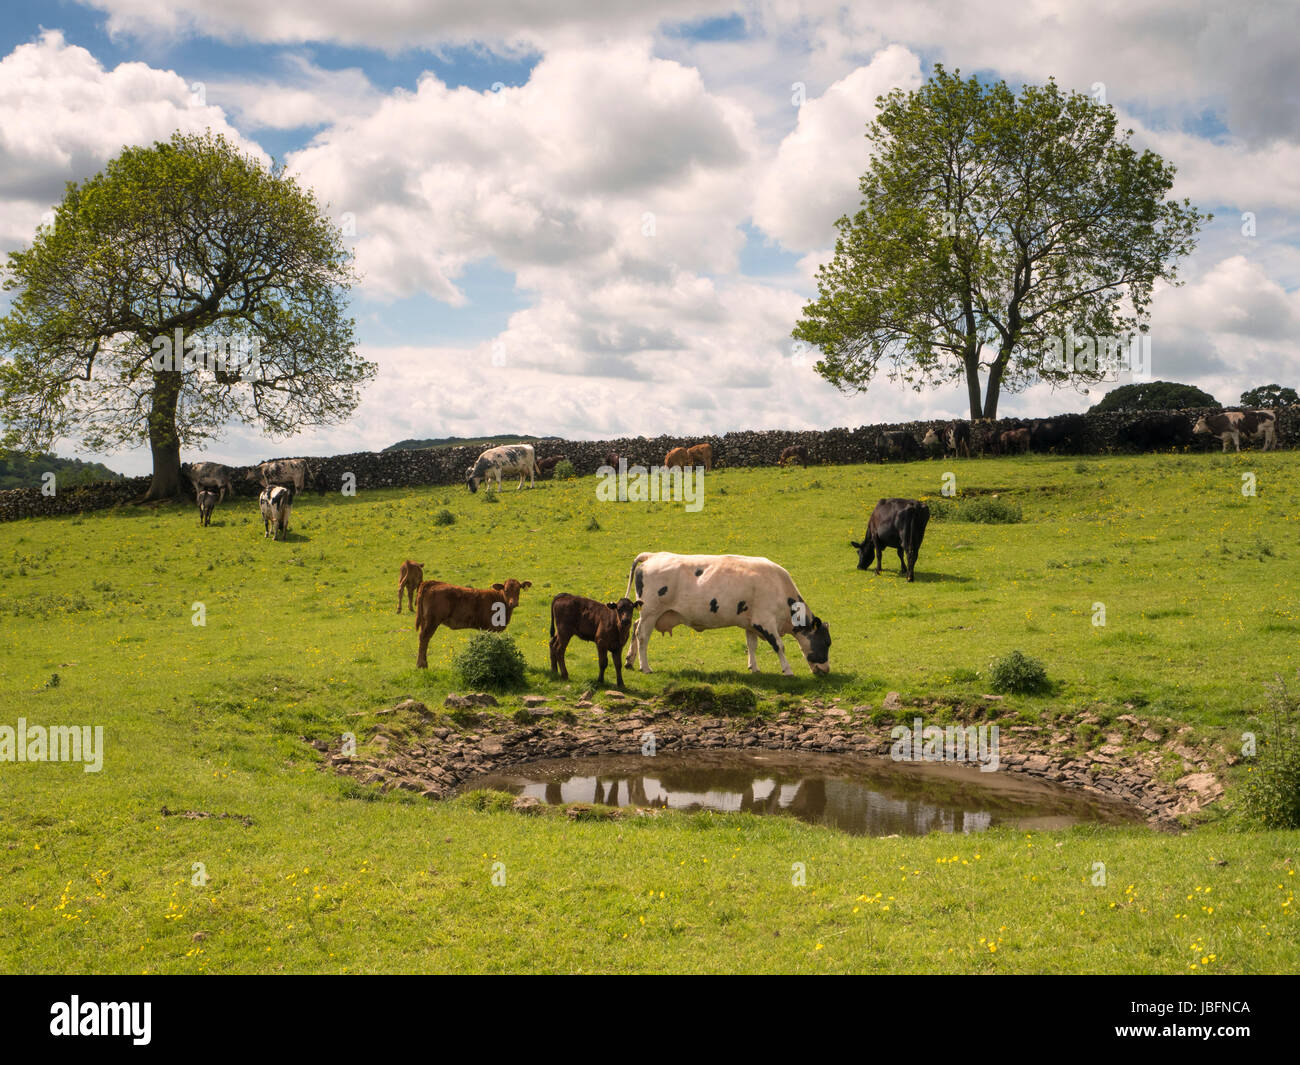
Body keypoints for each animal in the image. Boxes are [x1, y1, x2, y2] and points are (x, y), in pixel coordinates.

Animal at [622, 553, 831, 676]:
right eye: (826, 642)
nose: (826, 670)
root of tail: (653, 555)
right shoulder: (766, 620)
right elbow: (779, 646)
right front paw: (787, 670)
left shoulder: (751, 622)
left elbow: (751, 645)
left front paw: (754, 668)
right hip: (651, 612)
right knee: (642, 635)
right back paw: (645, 667)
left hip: (648, 613)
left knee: (635, 627)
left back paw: (630, 661)